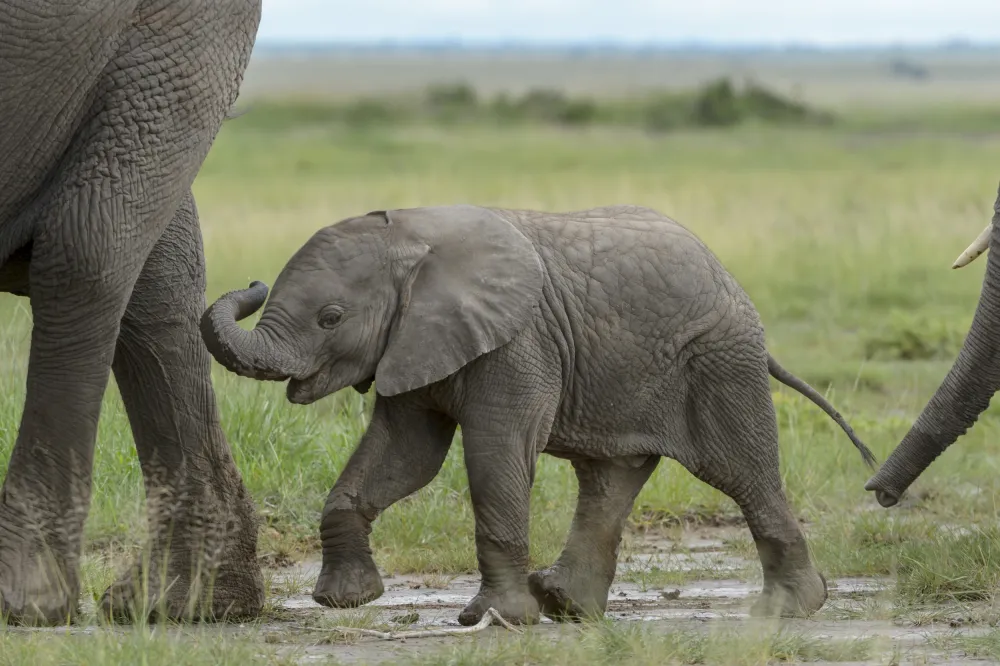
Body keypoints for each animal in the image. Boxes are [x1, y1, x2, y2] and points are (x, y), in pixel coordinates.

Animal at [201, 204, 876, 626]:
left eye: (331, 318)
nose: (252, 283)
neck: (413, 237)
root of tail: (729, 278)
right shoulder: (415, 341)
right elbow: (404, 457)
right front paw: (344, 600)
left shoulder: (516, 343)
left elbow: (495, 455)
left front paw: (495, 619)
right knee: (608, 479)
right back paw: (566, 606)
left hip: (718, 359)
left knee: (742, 472)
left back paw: (789, 610)